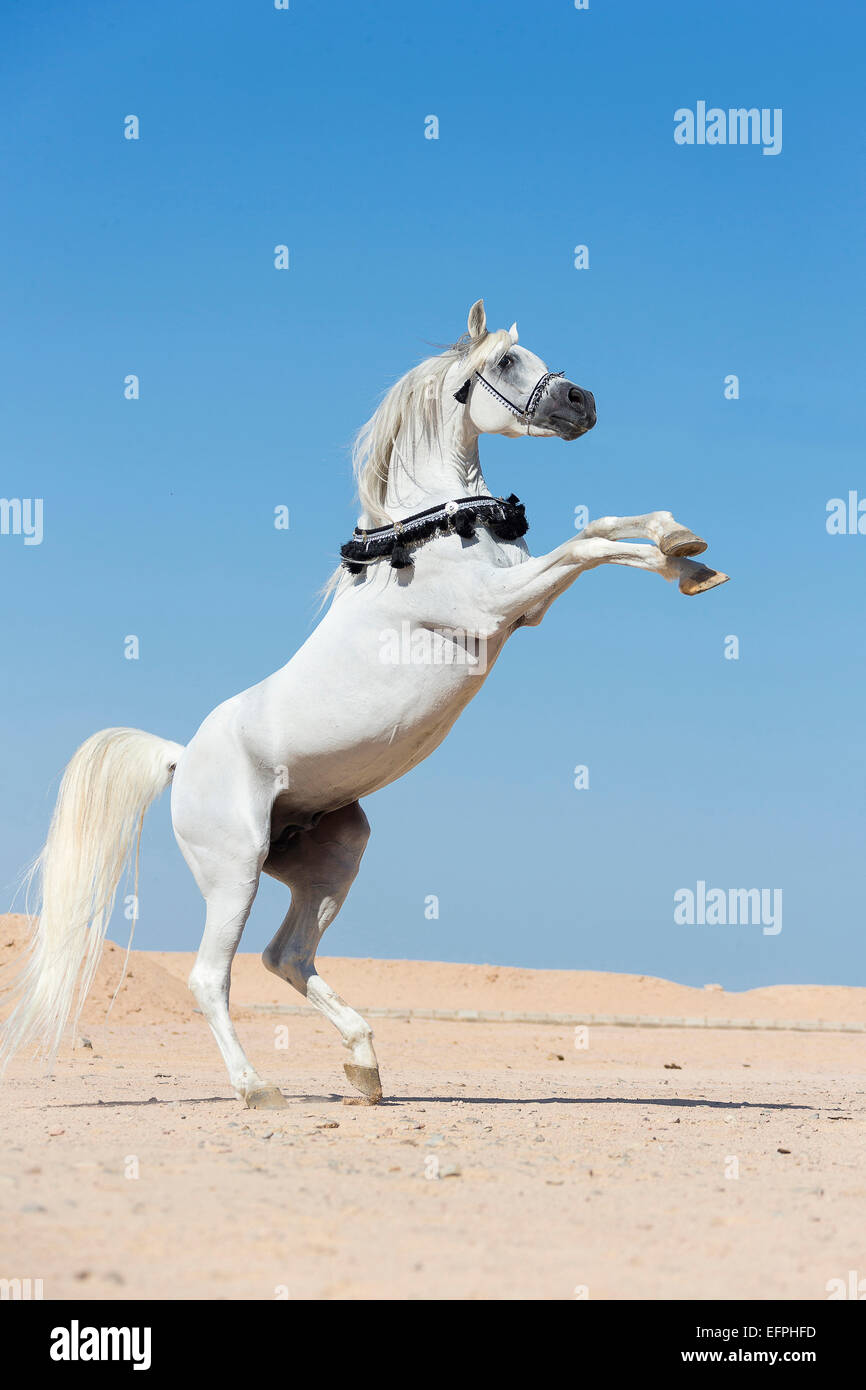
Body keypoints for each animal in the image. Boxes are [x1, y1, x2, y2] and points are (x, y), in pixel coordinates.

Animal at [0, 299, 728, 1108]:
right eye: (506, 363)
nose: (583, 403)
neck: (439, 530)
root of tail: (181, 760)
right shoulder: (500, 605)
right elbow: (585, 546)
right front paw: (683, 554)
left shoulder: (525, 603)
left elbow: (601, 533)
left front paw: (687, 553)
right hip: (234, 870)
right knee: (211, 977)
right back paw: (259, 1090)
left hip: (330, 861)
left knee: (286, 957)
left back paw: (365, 1067)